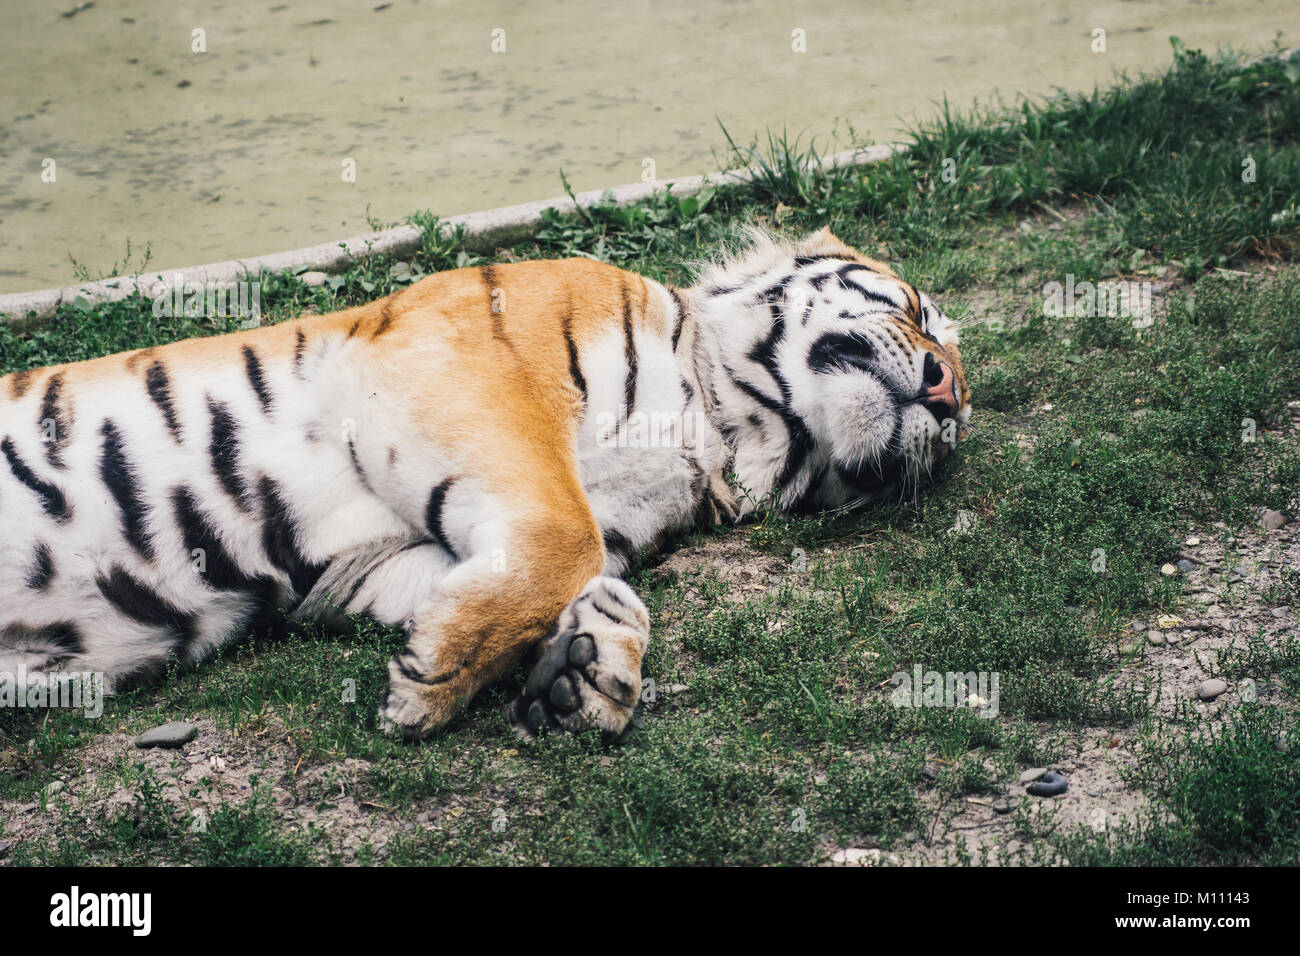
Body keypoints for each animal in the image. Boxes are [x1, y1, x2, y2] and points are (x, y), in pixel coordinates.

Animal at [0, 227, 969, 740]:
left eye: (959, 423)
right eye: (916, 311)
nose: (950, 399)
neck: (723, 429)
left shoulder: (366, 565)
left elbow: (555, 576)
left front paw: (590, 666)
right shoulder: (449, 369)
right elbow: (564, 540)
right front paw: (427, 689)